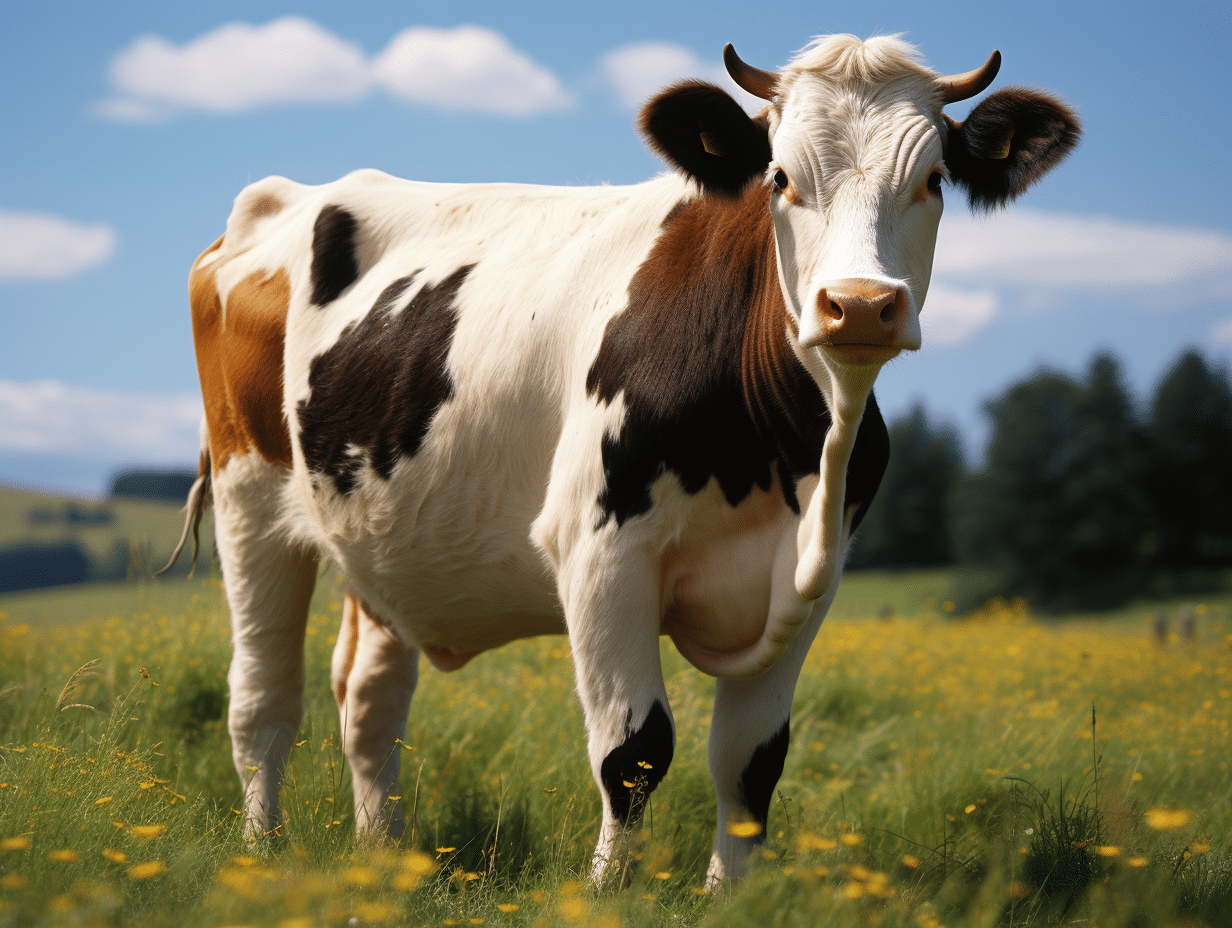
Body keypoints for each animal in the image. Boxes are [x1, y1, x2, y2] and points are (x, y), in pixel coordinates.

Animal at [165, 34, 1078, 887]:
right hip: (252, 504)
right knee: (261, 701)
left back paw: (380, 855)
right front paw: (607, 892)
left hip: (377, 529)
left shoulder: (813, 579)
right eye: (780, 178)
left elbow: (752, 762)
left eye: (934, 181)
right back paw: (261, 850)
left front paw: (732, 897)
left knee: (368, 703)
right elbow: (634, 751)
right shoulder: (602, 553)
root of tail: (280, 201)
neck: (788, 449)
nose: (859, 307)